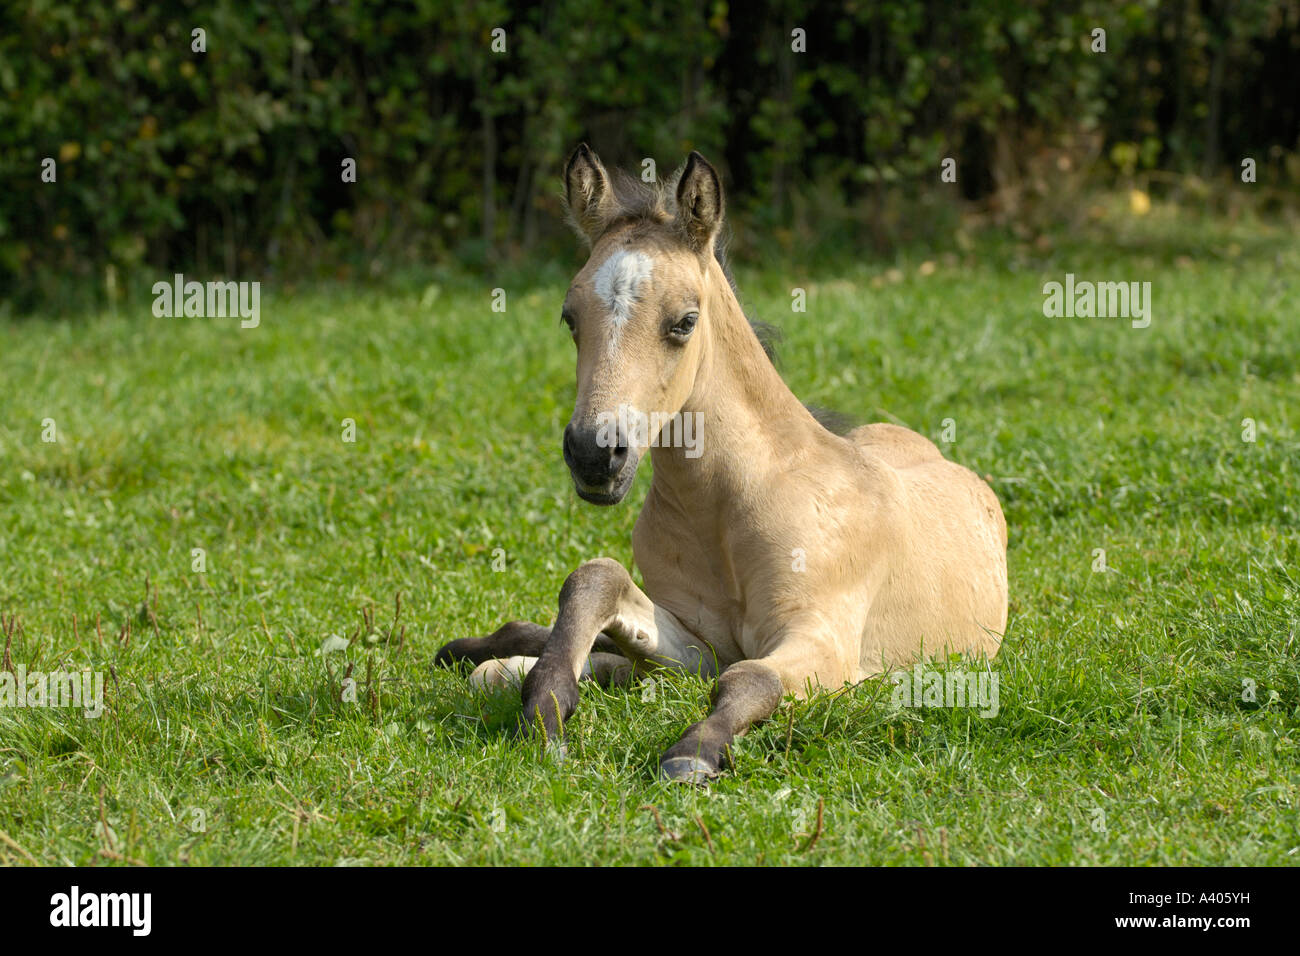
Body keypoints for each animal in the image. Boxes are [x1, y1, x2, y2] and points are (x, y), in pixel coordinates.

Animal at [435, 144, 1008, 783]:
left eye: (684, 321)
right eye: (569, 317)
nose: (594, 454)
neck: (728, 506)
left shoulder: (822, 639)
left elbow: (750, 677)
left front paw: (691, 753)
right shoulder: (701, 644)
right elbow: (597, 578)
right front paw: (547, 707)